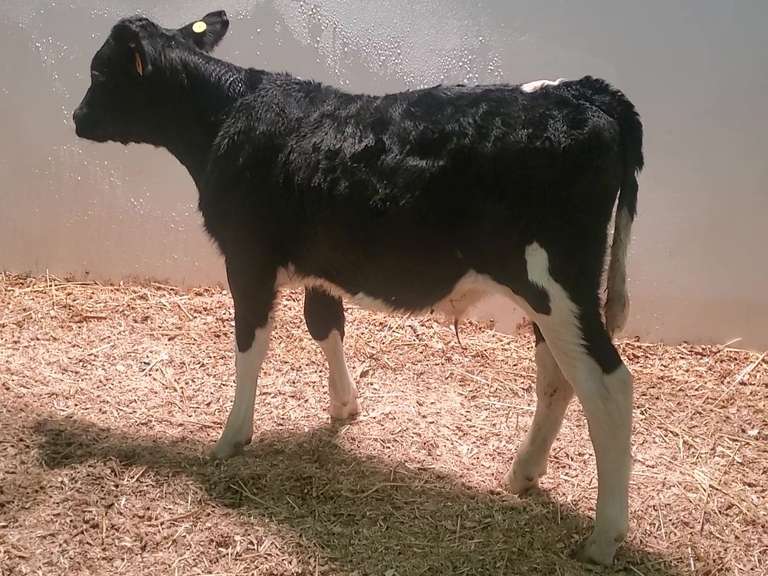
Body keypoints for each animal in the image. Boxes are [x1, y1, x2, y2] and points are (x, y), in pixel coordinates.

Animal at [73, 10, 644, 565]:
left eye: (100, 71)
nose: (76, 117)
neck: (226, 117)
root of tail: (584, 91)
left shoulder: (248, 258)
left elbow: (249, 347)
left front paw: (231, 437)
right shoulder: (321, 263)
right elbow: (325, 327)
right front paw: (344, 408)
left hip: (556, 285)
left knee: (608, 386)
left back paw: (603, 538)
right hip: (551, 297)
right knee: (558, 378)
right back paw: (523, 473)